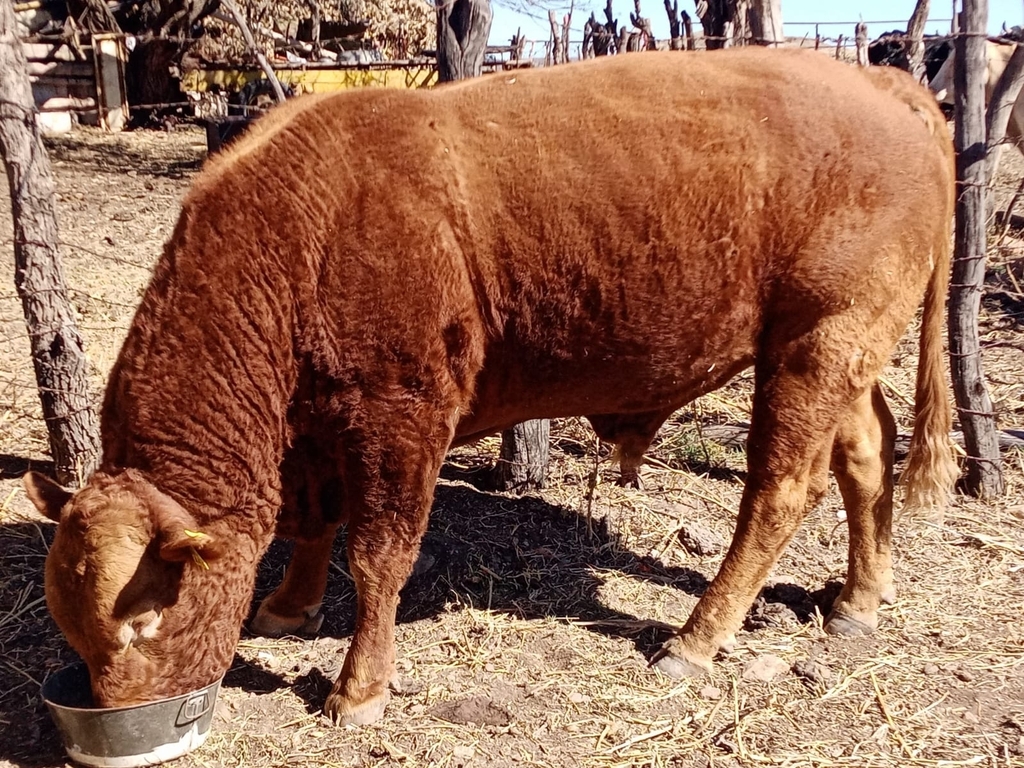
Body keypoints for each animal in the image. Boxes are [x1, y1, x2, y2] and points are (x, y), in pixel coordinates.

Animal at [23, 48, 957, 728]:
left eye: (143, 620)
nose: (119, 711)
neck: (305, 225)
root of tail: (882, 83)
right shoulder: (318, 429)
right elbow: (313, 523)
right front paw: (285, 608)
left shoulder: (400, 415)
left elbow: (379, 554)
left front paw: (356, 691)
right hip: (841, 353)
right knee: (867, 455)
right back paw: (859, 601)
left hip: (814, 345)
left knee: (780, 488)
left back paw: (694, 640)